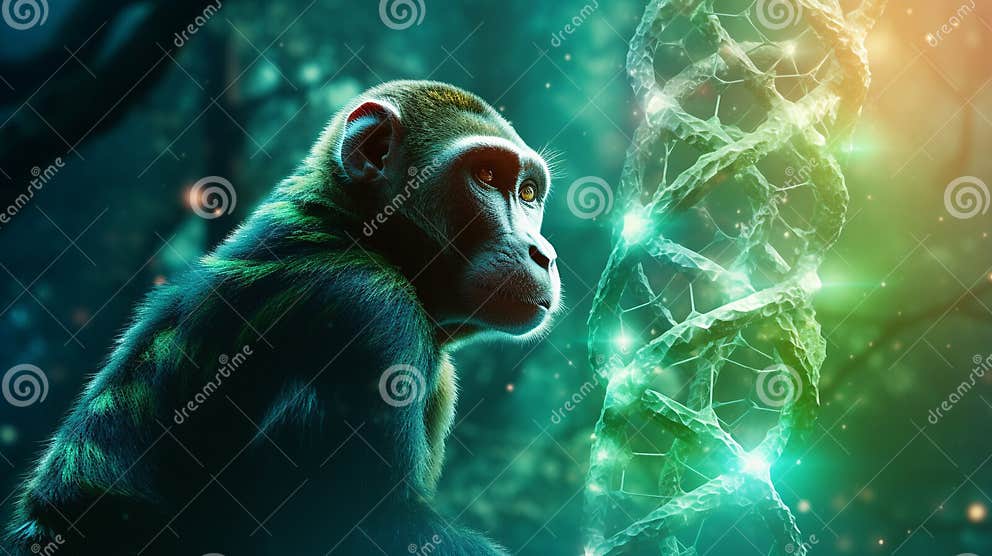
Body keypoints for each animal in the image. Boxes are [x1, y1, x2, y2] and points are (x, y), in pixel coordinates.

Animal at [3, 80, 561, 555]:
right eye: (486, 176)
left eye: (528, 194)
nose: (544, 254)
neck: (359, 231)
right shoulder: (371, 312)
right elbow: (376, 525)